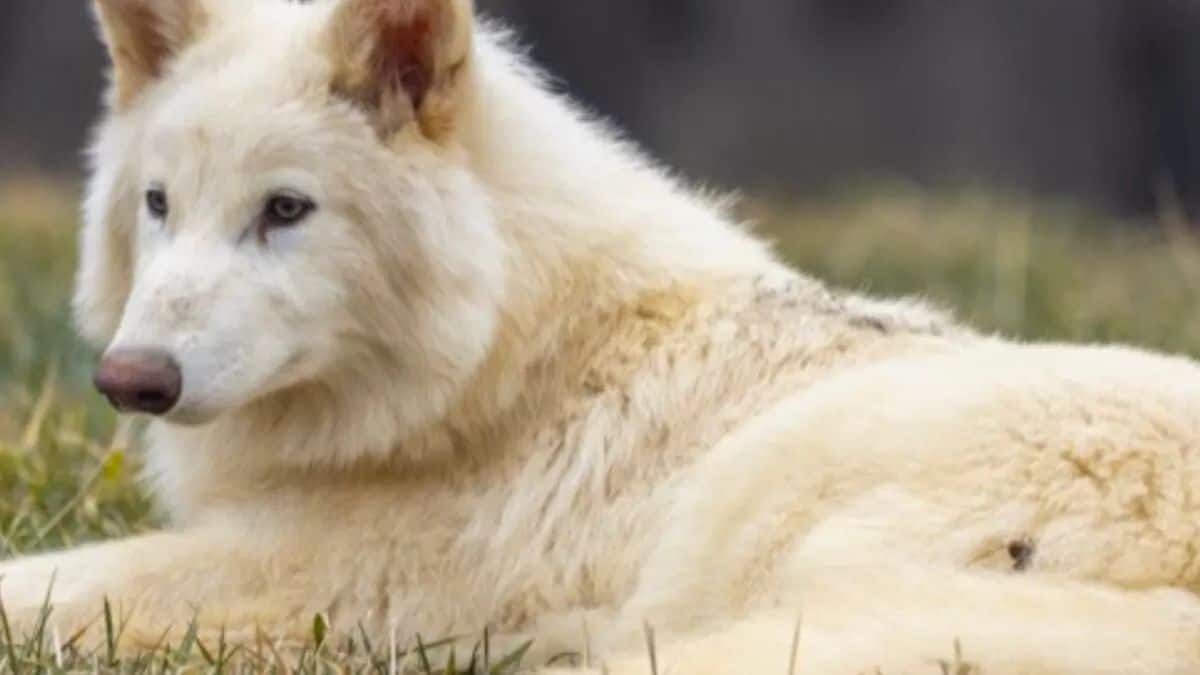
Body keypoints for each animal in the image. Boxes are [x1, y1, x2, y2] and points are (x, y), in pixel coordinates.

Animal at [3, 0, 1200, 672]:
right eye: (159, 203)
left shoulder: (323, 584)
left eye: (286, 209)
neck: (508, 362)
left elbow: (39, 588)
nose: (130, 379)